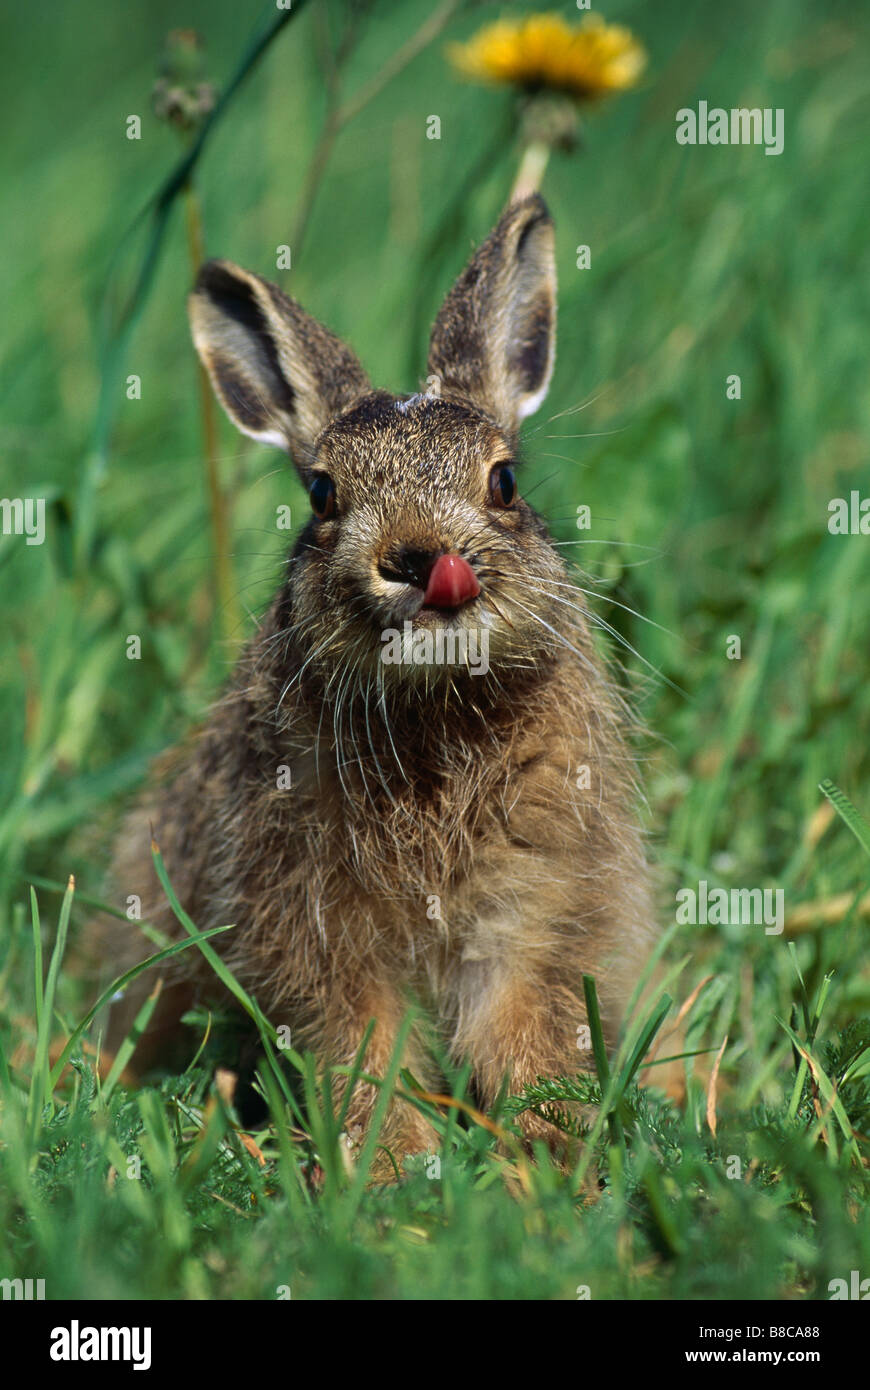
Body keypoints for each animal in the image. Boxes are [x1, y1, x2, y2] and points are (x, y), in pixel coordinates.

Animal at [90, 193, 655, 1173]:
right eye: (322, 495)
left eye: (505, 481)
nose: (421, 558)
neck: (438, 713)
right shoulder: (310, 919)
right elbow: (359, 1039)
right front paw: (391, 1168)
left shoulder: (534, 903)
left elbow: (525, 1026)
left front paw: (550, 1157)